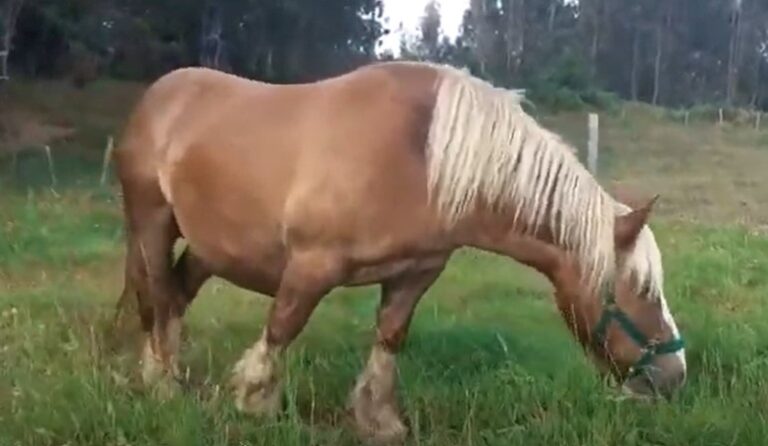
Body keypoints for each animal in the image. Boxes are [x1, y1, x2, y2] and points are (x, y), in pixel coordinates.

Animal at [112, 60, 686, 444]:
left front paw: (380, 421)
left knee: (176, 296)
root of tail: (161, 92)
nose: (674, 376)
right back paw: (162, 385)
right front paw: (253, 405)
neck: (421, 158)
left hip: (212, 247)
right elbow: (281, 331)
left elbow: (389, 339)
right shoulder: (312, 265)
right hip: (151, 224)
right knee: (158, 297)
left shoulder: (414, 274)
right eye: (639, 291)